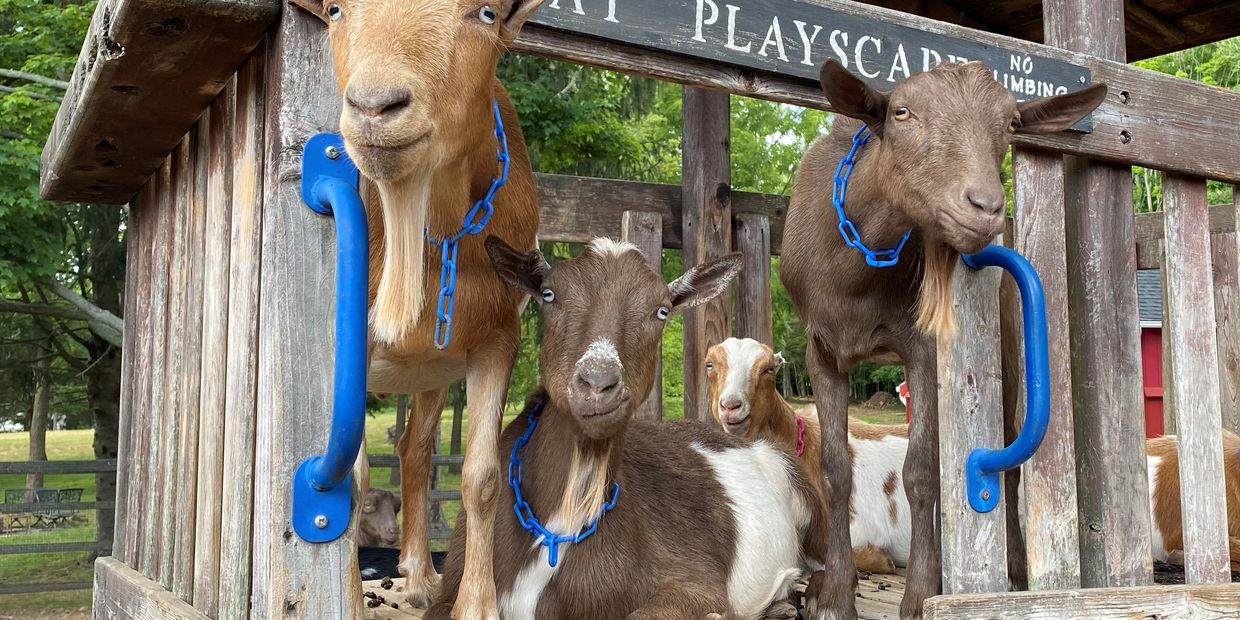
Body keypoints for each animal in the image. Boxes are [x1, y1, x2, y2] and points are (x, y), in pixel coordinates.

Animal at [288, 1, 546, 613]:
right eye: (335, 10)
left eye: (487, 13)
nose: (374, 107)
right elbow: (352, 480)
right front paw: (350, 603)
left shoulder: (497, 338)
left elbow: (481, 477)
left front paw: (478, 604)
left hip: (432, 366)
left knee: (417, 450)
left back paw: (421, 576)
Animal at [779, 59, 1106, 618]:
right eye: (901, 111)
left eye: (1011, 123)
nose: (984, 206)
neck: (853, 277)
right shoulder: (820, 350)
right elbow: (835, 470)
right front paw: (835, 593)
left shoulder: (923, 349)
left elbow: (921, 472)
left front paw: (921, 594)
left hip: (1009, 344)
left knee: (1004, 461)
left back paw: (1012, 569)